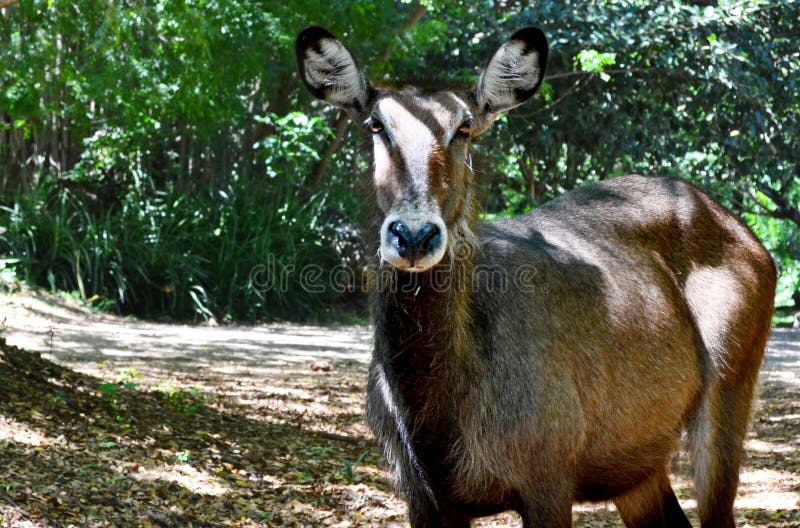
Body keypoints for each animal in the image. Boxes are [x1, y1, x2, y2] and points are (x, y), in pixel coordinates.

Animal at [296, 25, 776, 528]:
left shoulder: (548, 476)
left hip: (728, 392)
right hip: (636, 465)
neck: (436, 424)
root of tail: (755, 244)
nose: (413, 235)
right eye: (376, 124)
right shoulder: (421, 495)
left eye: (464, 126)